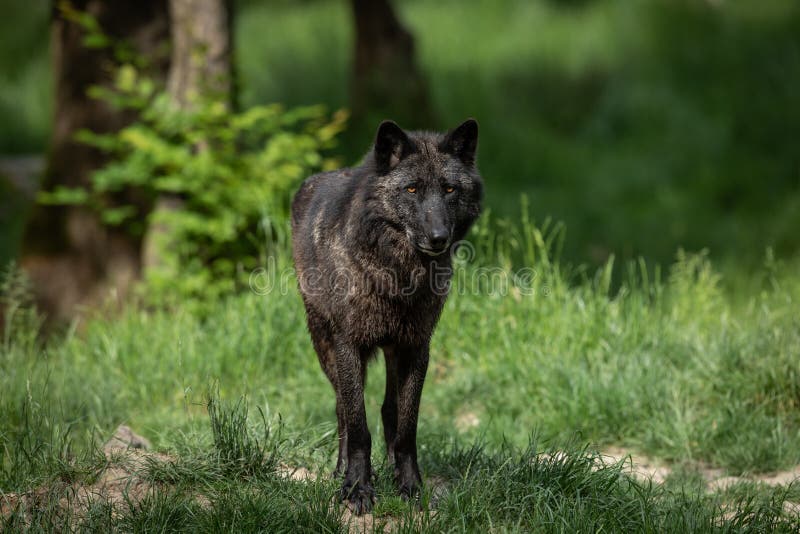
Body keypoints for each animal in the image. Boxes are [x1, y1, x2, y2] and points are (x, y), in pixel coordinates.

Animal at [291, 119, 482, 514]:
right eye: (411, 189)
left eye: (449, 188)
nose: (439, 237)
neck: (398, 274)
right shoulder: (348, 345)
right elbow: (358, 426)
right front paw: (357, 488)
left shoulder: (416, 348)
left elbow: (407, 427)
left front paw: (409, 486)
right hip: (324, 347)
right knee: (342, 410)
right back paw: (340, 471)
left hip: (392, 353)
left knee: (388, 410)